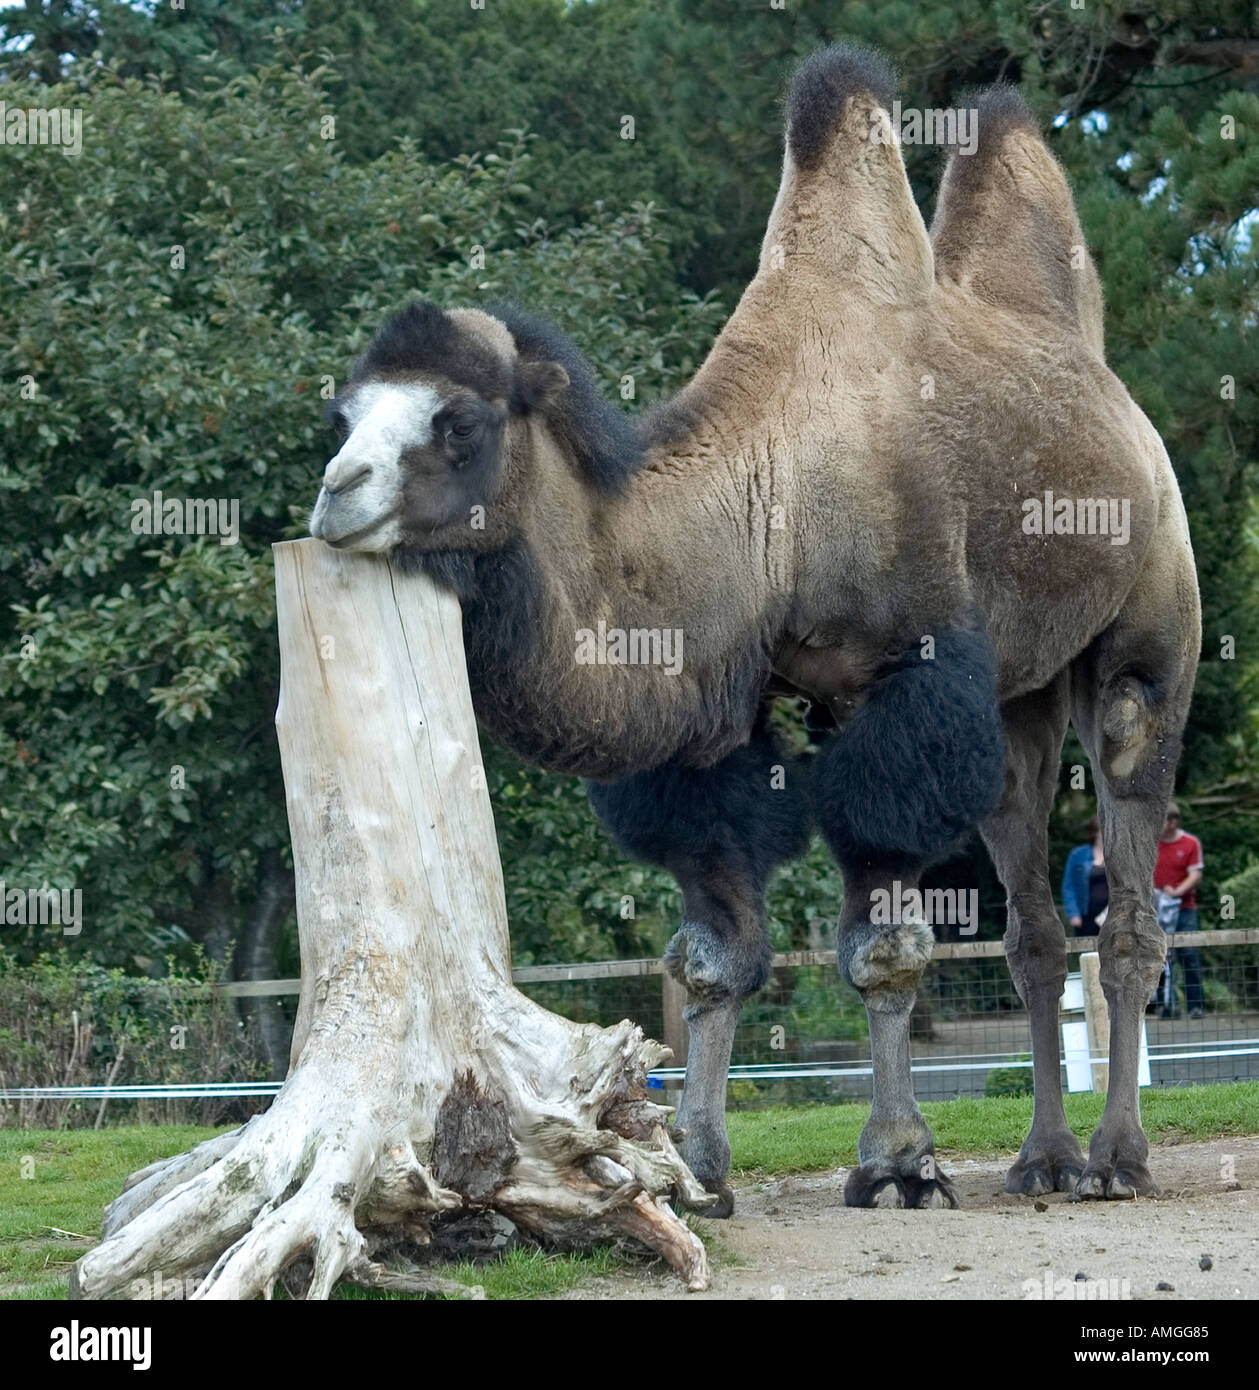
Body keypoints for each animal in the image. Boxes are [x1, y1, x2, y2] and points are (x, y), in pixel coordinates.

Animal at [309, 44, 1200, 1216]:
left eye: (457, 421)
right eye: (342, 415)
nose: (335, 493)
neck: (766, 503)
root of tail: (1120, 409)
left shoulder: (901, 682)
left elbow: (880, 947)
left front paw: (896, 1161)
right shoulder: (718, 719)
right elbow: (712, 951)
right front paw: (695, 1163)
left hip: (1152, 623)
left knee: (1132, 879)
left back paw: (1116, 1157)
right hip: (1017, 692)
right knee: (1032, 914)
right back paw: (1041, 1157)